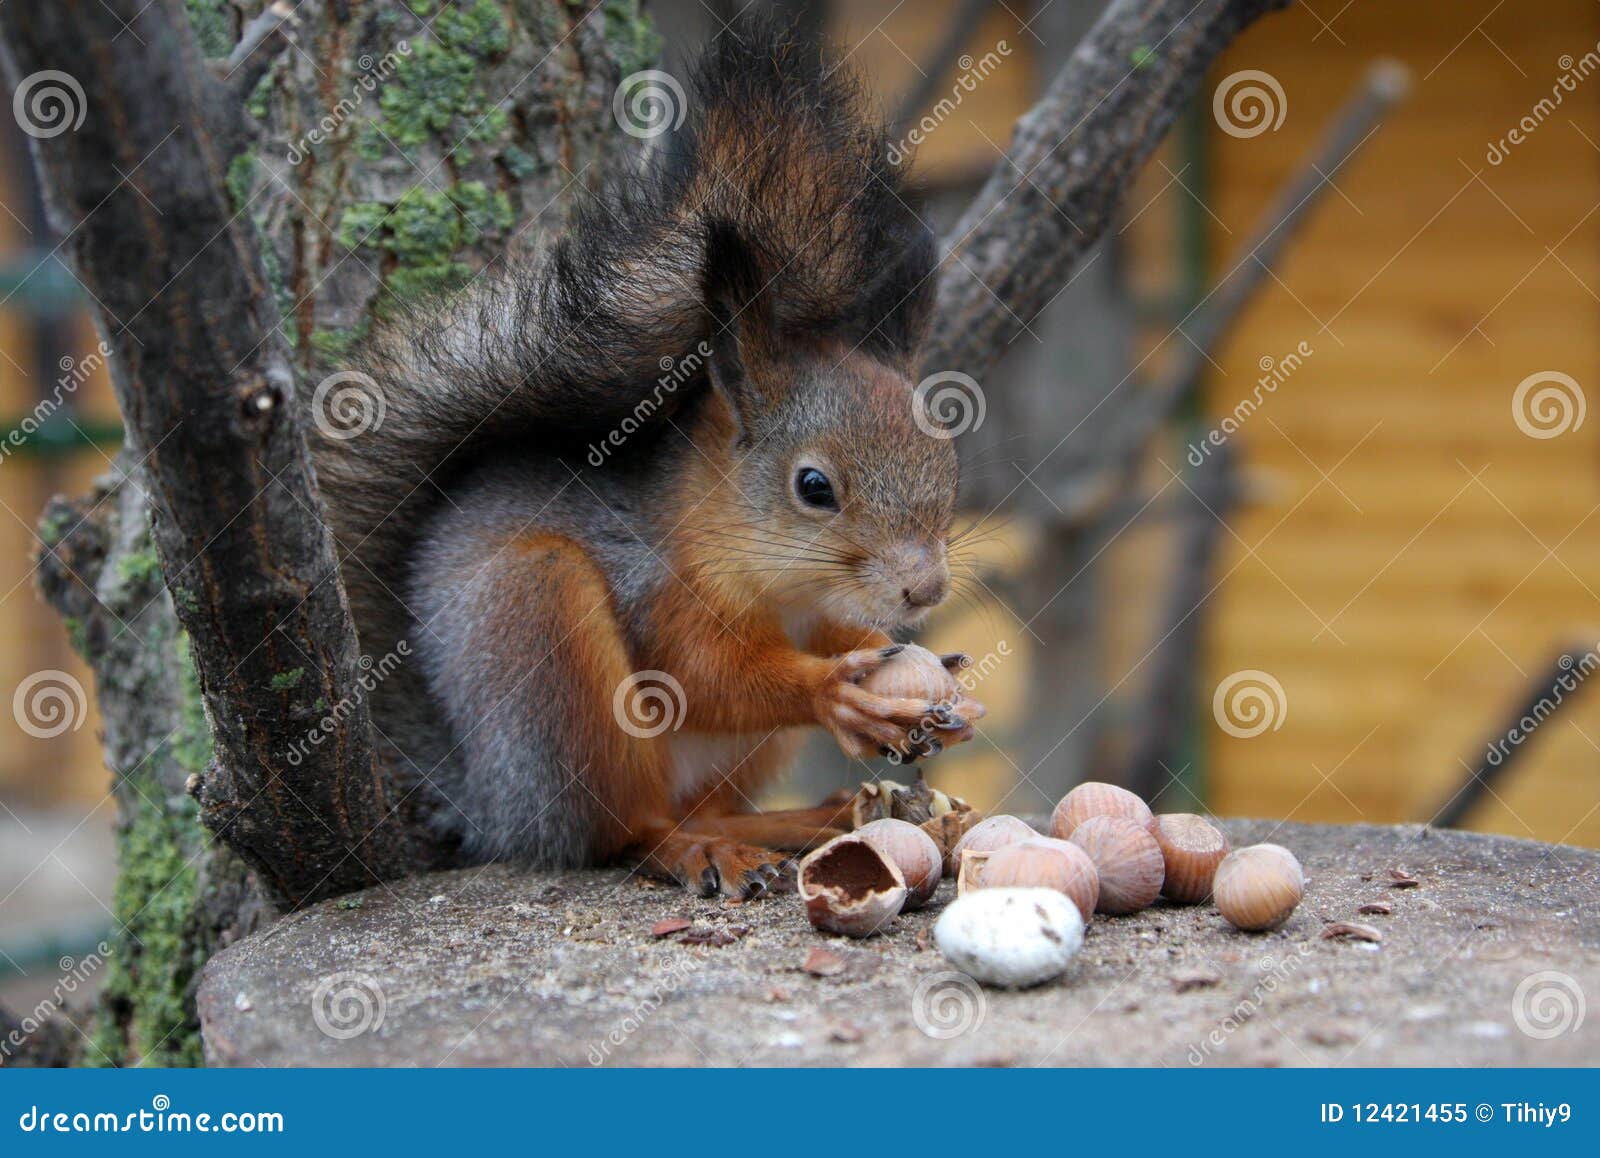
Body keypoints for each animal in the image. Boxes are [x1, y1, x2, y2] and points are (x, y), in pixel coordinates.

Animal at [309, 15, 986, 898]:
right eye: (813, 486)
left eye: (948, 466)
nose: (924, 590)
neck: (780, 584)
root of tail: (488, 798)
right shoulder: (657, 585)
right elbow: (705, 675)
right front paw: (836, 693)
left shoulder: (820, 610)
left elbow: (842, 636)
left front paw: (932, 682)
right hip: (548, 639)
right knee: (625, 830)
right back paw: (698, 850)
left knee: (704, 806)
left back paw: (801, 821)